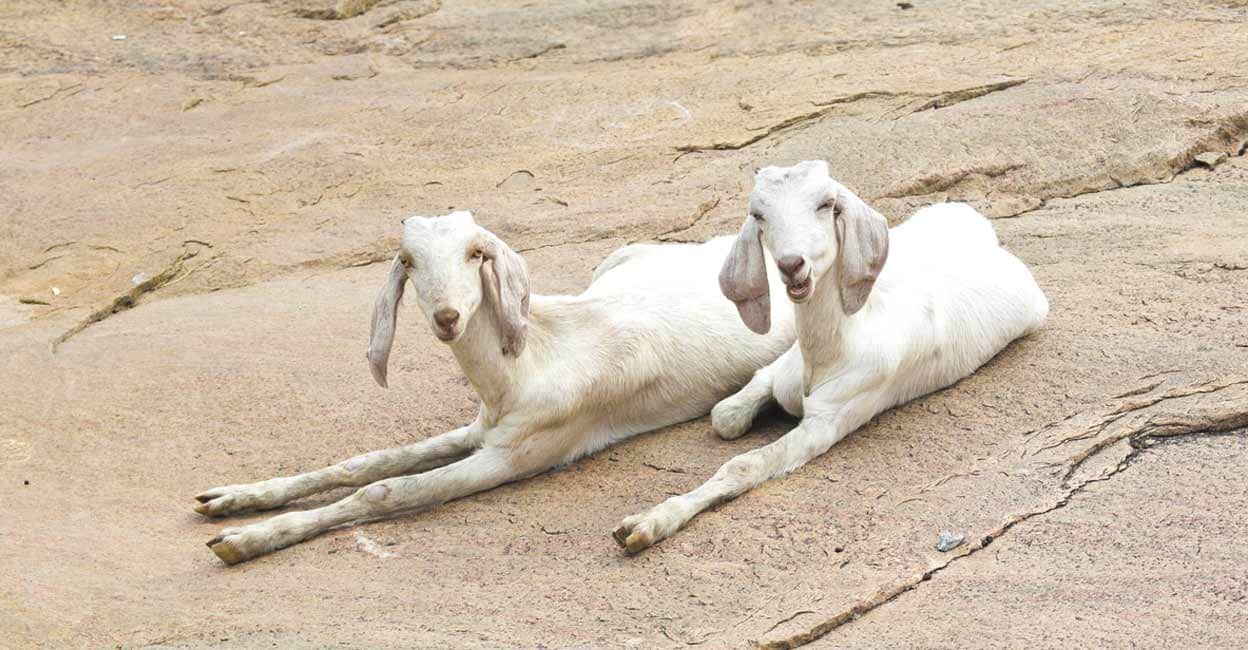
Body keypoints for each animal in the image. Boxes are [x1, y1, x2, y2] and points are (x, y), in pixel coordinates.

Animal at [196, 210, 796, 564]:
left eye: (474, 254)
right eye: (408, 262)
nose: (447, 318)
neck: (533, 359)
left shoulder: (516, 453)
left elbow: (389, 489)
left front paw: (243, 541)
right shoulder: (482, 426)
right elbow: (367, 462)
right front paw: (231, 500)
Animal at [611, 161, 1049, 552]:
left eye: (825, 204)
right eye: (759, 214)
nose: (792, 266)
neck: (829, 350)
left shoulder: (828, 422)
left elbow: (744, 464)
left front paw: (646, 524)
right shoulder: (776, 370)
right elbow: (725, 416)